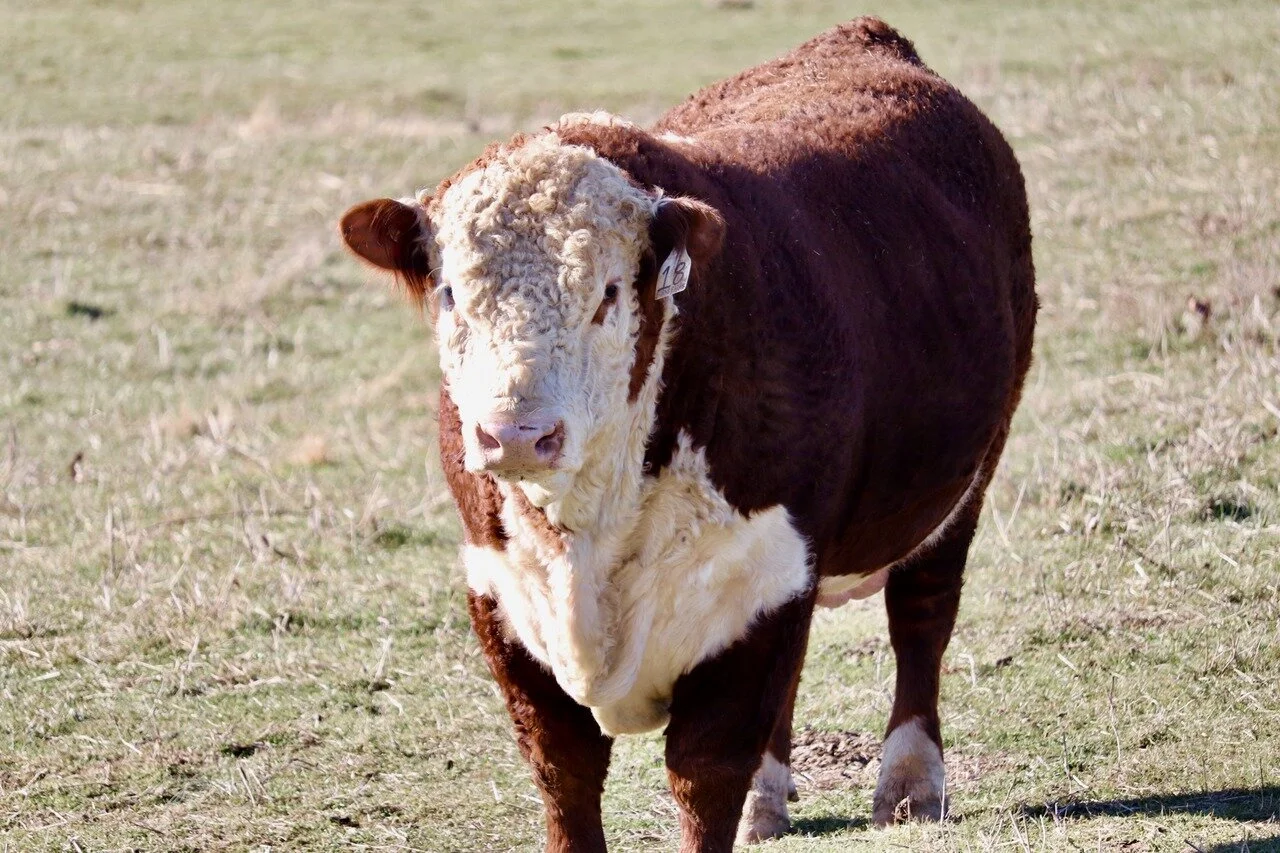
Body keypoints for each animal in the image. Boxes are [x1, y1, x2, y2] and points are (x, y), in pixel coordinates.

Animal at [339, 17, 1036, 852]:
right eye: (449, 292)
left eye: (608, 292)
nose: (517, 434)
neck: (589, 533)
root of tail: (866, 35)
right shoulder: (501, 595)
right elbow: (562, 773)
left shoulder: (759, 586)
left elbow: (704, 773)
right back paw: (769, 803)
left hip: (963, 480)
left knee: (922, 615)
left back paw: (909, 784)